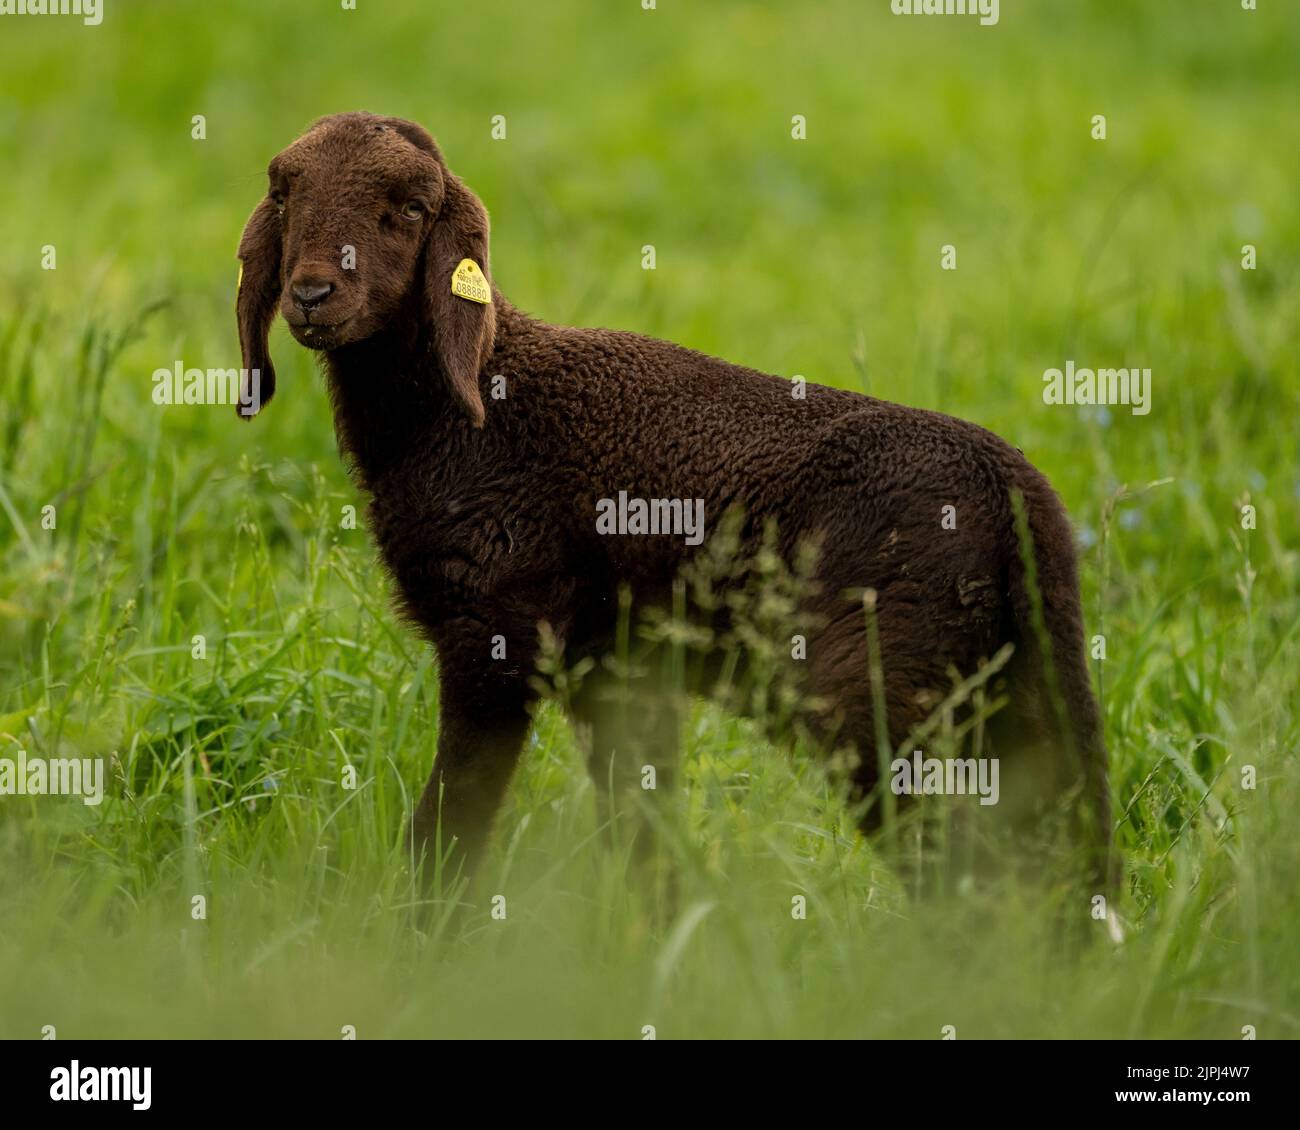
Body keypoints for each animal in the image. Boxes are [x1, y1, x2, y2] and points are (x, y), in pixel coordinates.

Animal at [235, 112, 1114, 893]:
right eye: (284, 196)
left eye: (413, 209)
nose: (311, 294)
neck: (477, 401)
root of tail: (1018, 496)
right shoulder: (616, 673)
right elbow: (643, 843)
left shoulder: (496, 634)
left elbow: (448, 837)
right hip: (1017, 693)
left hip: (882, 689)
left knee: (965, 875)